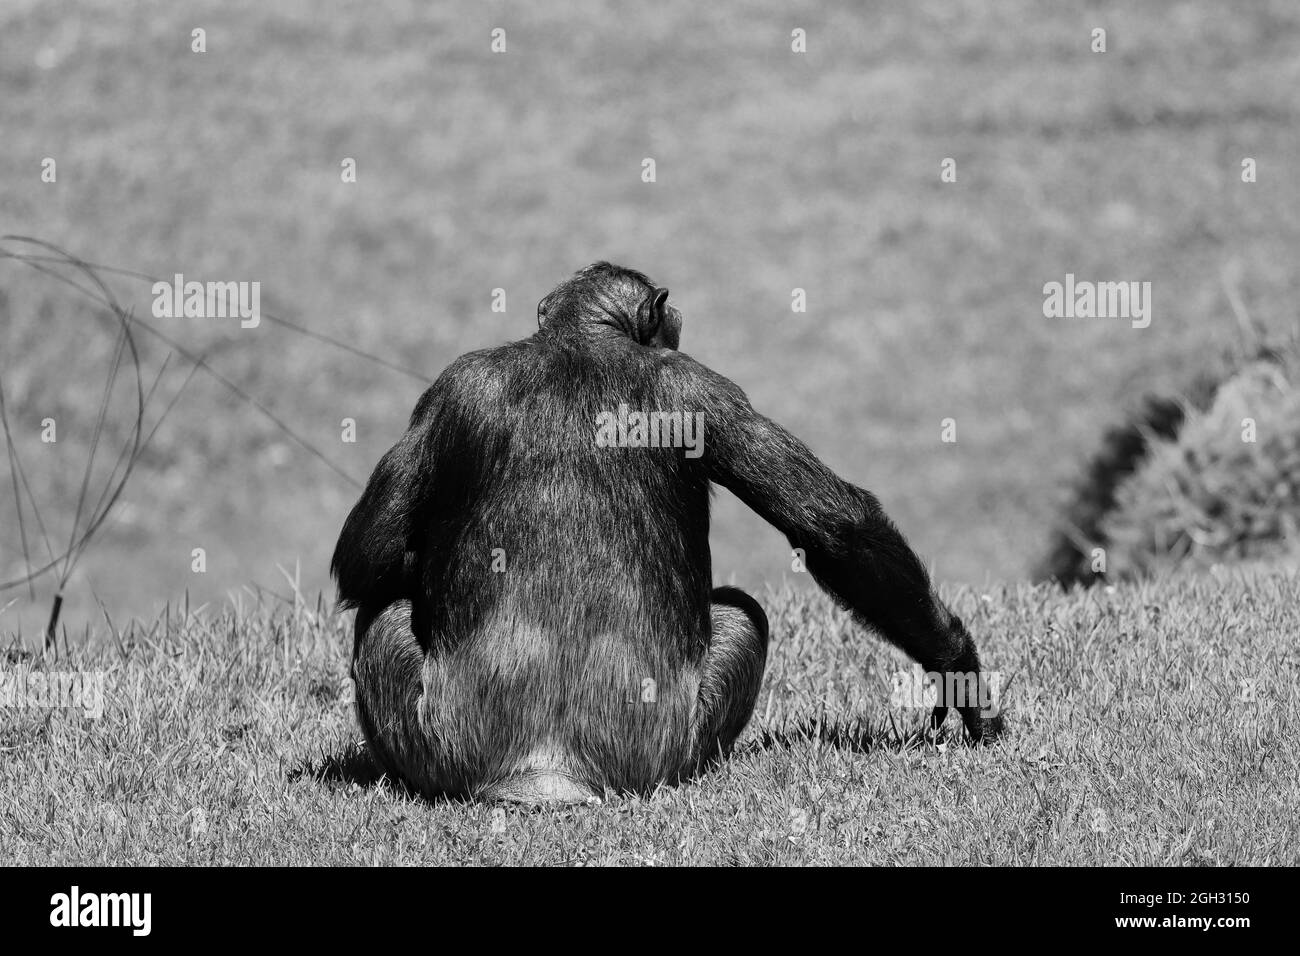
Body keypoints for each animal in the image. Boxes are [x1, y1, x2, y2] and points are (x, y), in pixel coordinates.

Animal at [331, 263, 1002, 803]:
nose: (677, 319)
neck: (585, 338)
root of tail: (548, 771)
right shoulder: (706, 389)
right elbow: (837, 526)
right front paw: (961, 670)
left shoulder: (452, 385)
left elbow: (368, 552)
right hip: (598, 747)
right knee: (744, 617)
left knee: (379, 613)